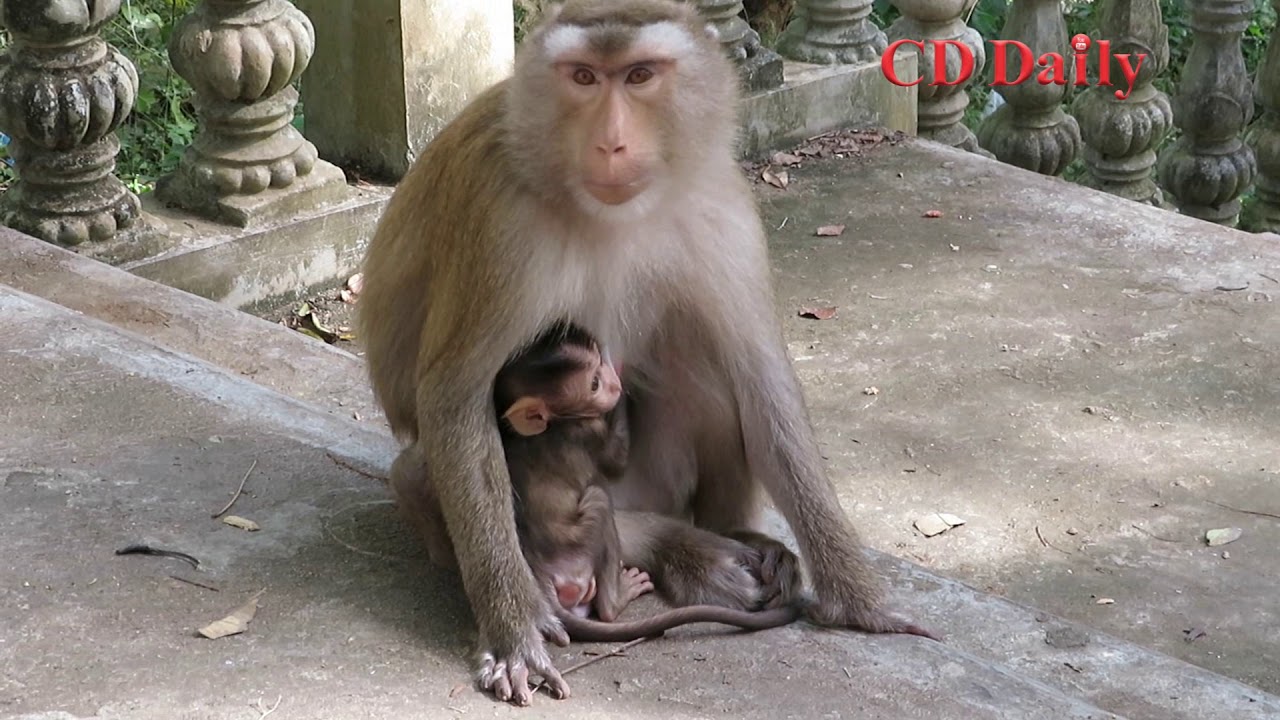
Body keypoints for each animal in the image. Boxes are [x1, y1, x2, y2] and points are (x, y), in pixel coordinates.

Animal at [494, 324, 804, 643]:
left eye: (598, 364)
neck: (554, 423)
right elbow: (616, 457)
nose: (614, 384)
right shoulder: (588, 428)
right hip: (579, 551)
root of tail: (540, 574)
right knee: (600, 502)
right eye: (594, 383)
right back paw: (620, 598)